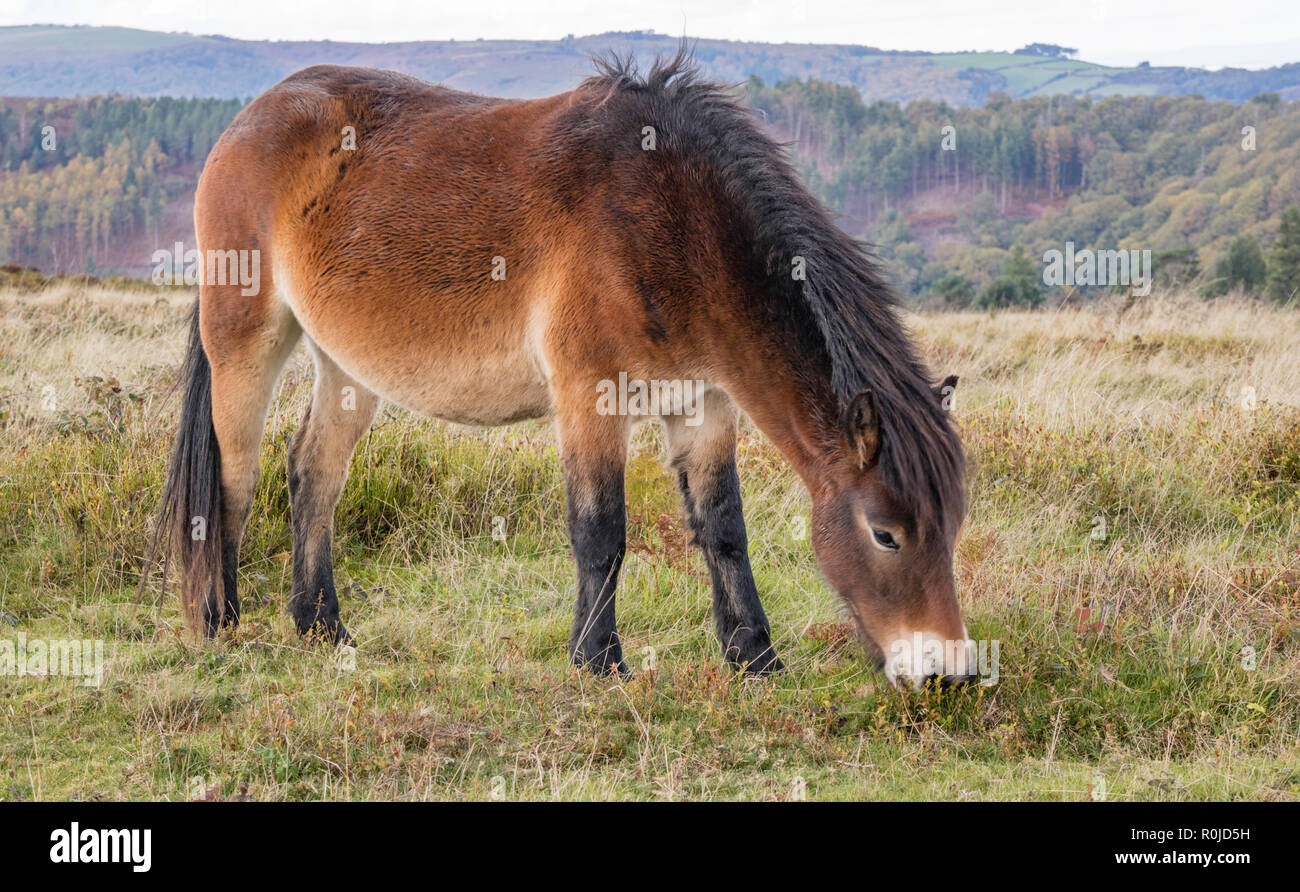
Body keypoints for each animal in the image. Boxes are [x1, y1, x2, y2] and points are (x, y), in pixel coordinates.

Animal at [147, 50, 974, 687]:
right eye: (886, 534)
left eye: (951, 525)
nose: (948, 673)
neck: (669, 216)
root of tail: (250, 117)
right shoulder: (590, 396)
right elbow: (601, 531)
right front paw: (598, 660)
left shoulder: (704, 403)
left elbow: (723, 529)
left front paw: (754, 657)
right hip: (245, 339)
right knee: (234, 477)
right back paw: (220, 620)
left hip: (346, 366)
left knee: (313, 472)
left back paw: (322, 626)